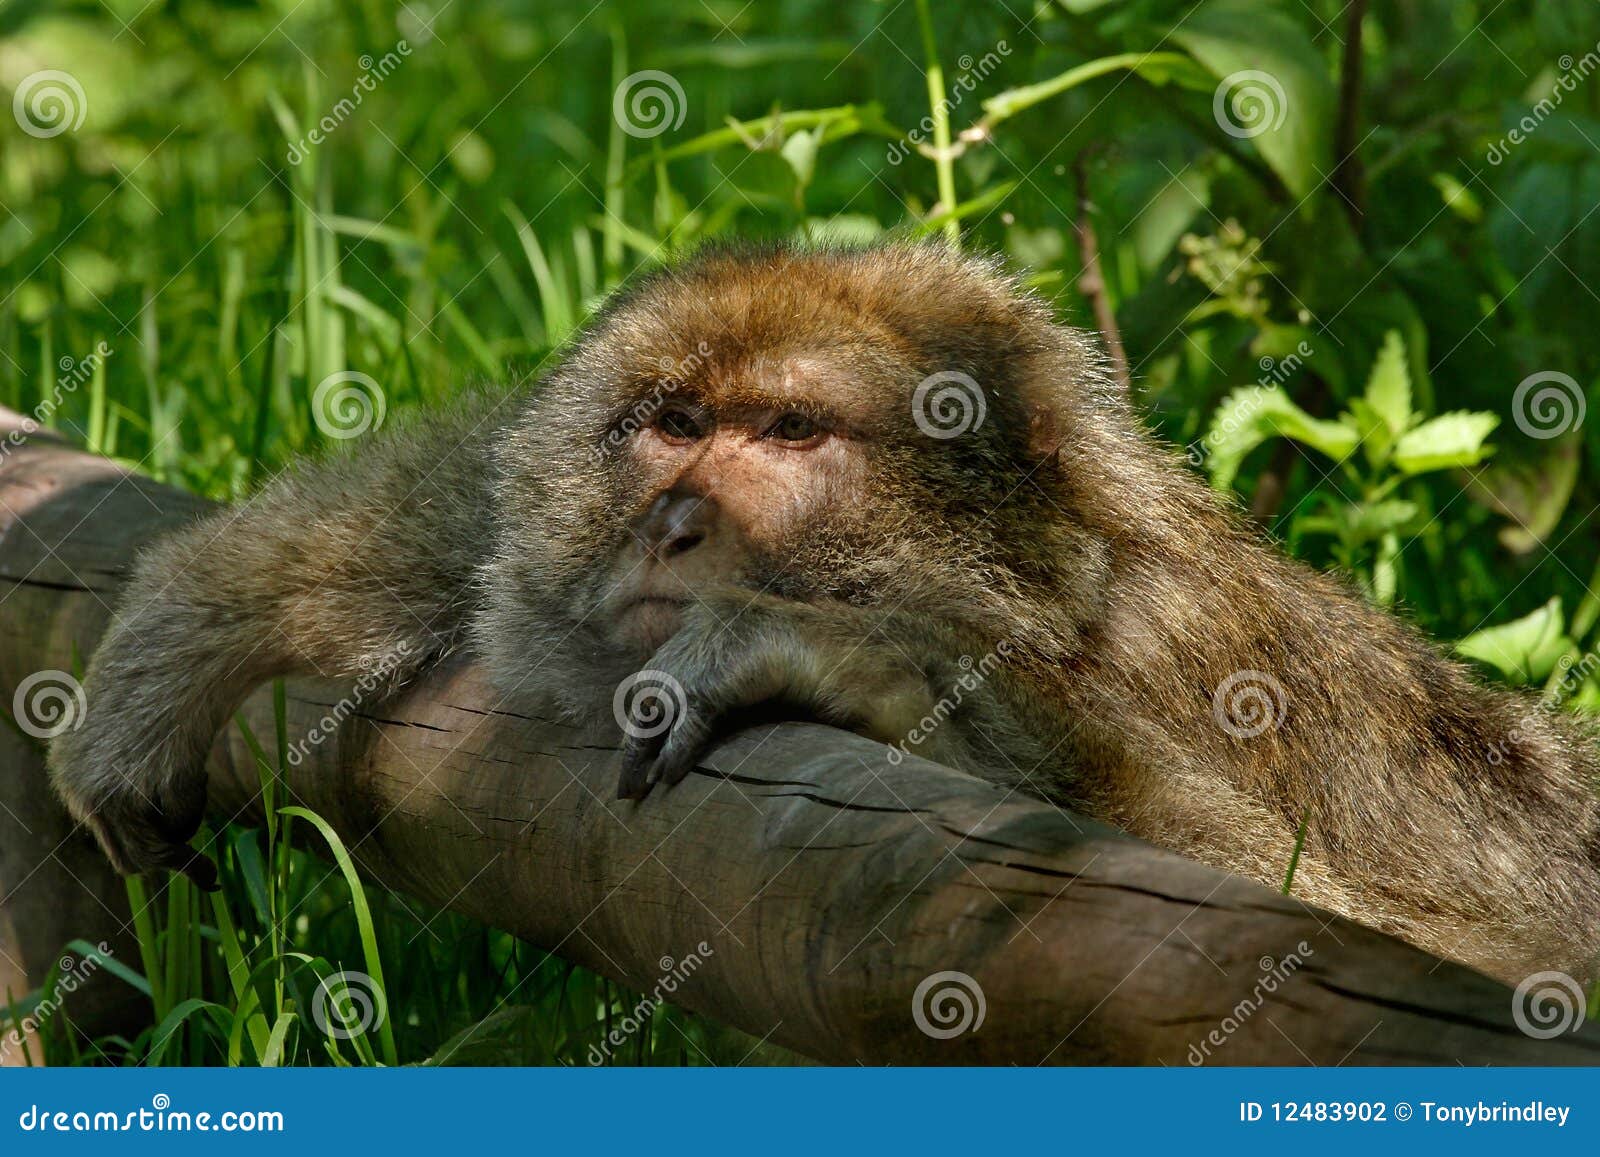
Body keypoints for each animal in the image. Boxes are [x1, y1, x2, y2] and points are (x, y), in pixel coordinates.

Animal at [45, 240, 1600, 988]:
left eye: (791, 431)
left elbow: (1382, 951)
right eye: (673, 422)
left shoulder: (1177, 653)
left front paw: (859, 656)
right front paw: (193, 623)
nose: (676, 518)